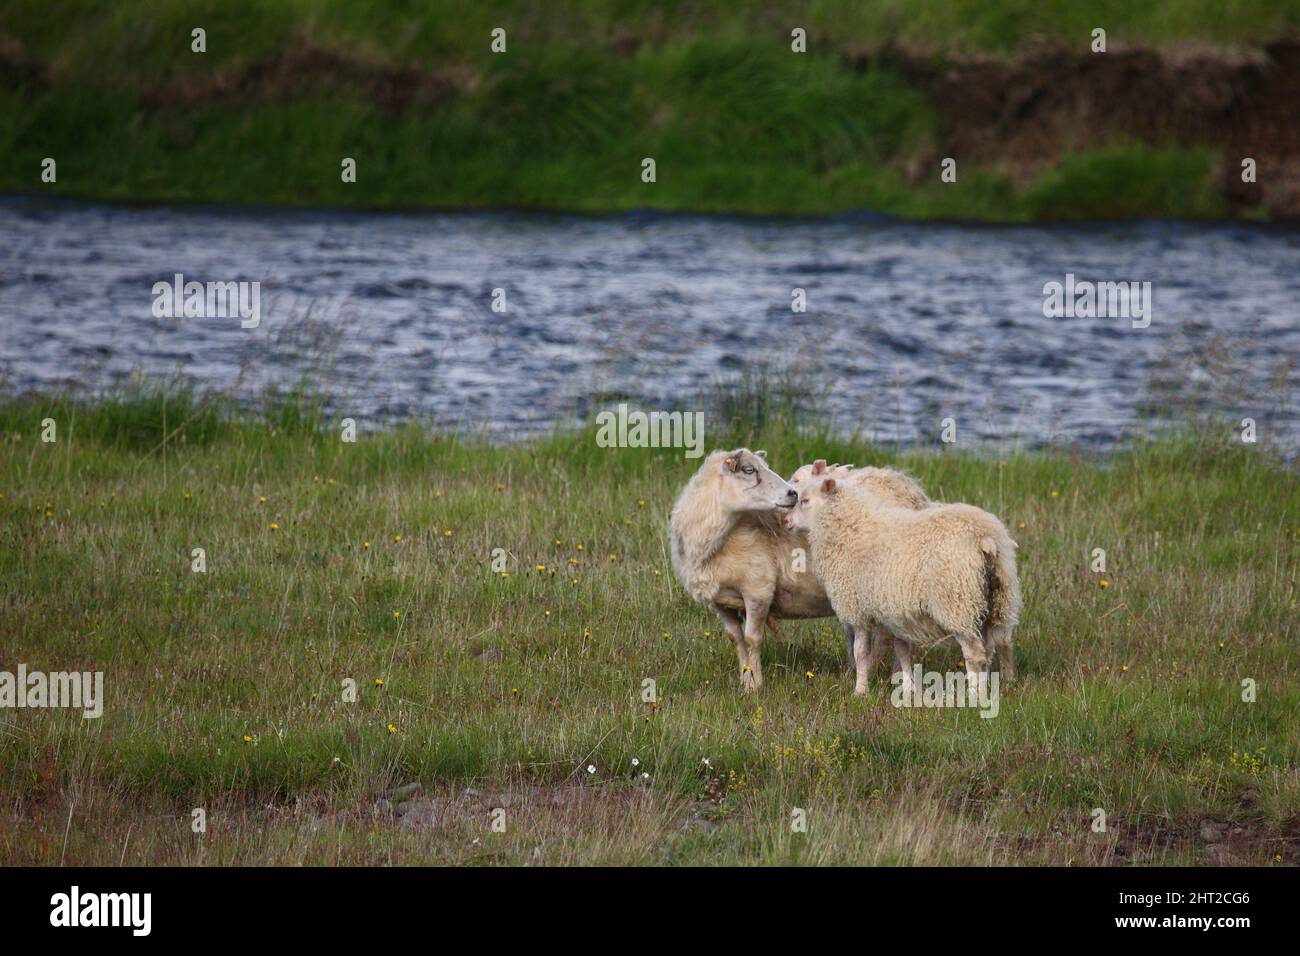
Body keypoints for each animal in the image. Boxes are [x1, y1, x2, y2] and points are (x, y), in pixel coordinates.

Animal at [785, 476, 1021, 696]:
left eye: (805, 500)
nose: (786, 522)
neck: (849, 527)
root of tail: (986, 539)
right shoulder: (898, 612)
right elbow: (902, 650)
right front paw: (908, 687)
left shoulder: (857, 609)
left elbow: (860, 652)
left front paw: (860, 691)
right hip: (995, 601)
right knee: (991, 647)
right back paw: (989, 686)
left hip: (957, 601)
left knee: (974, 653)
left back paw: (973, 693)